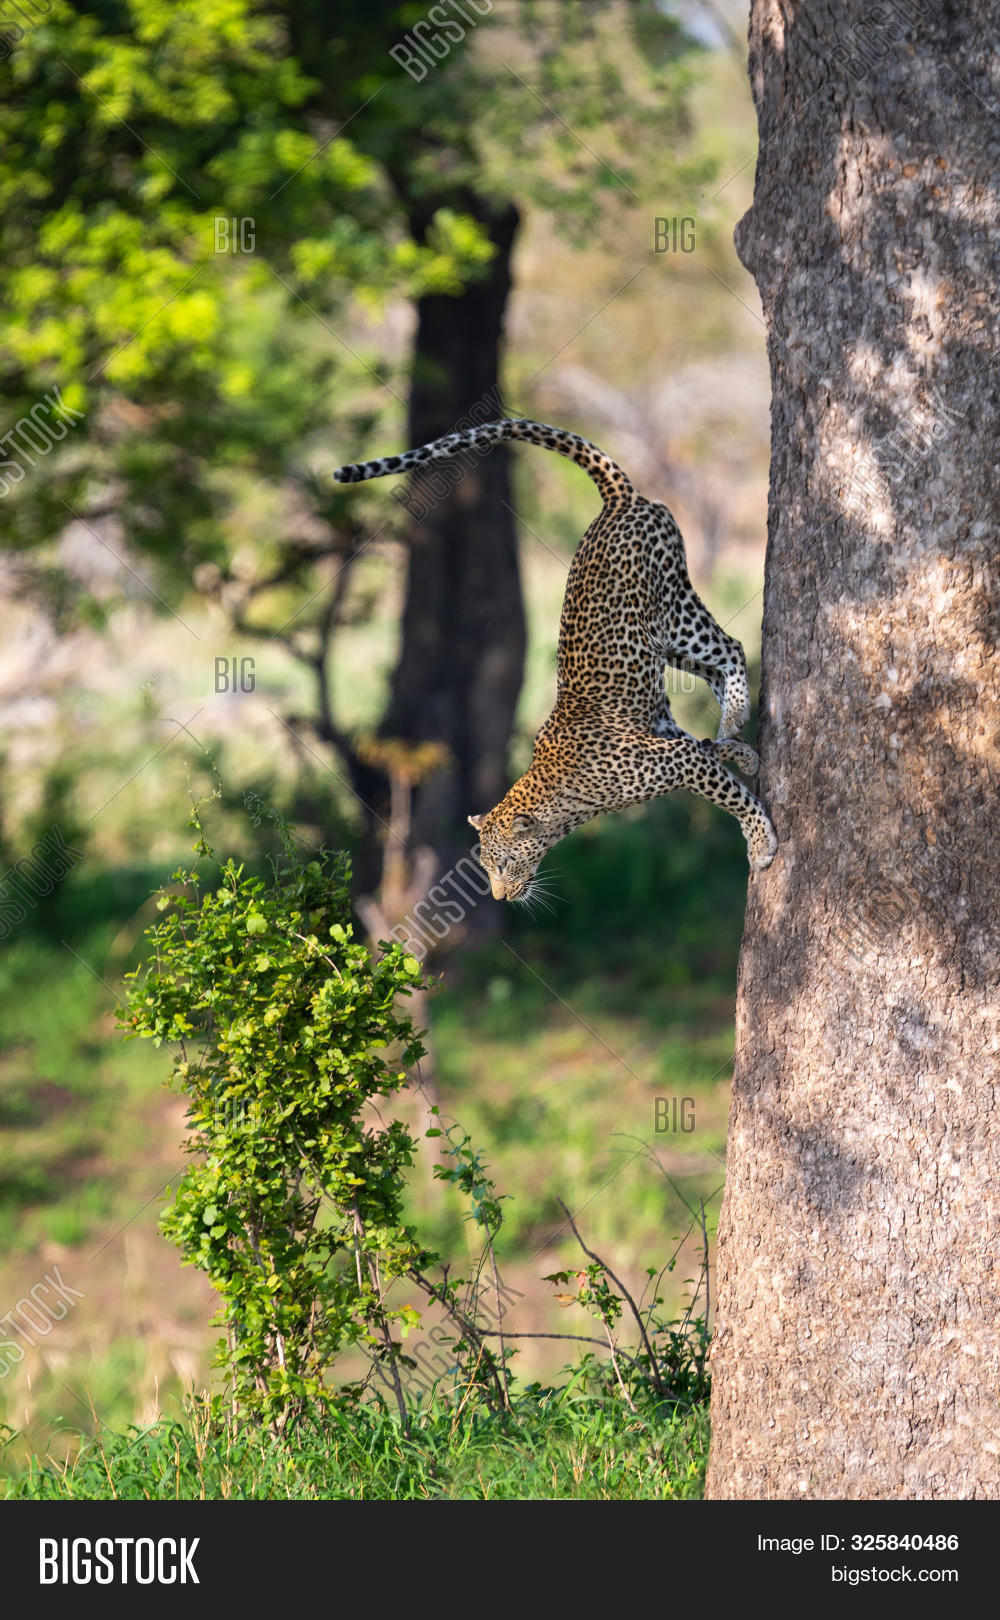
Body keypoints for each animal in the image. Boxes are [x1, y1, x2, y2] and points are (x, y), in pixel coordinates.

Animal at [334, 418, 777, 904]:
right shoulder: (670, 741)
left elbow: (731, 796)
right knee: (717, 667)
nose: (500, 897)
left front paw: (761, 843)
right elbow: (708, 754)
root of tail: (618, 501)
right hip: (667, 645)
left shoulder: (678, 761)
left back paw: (734, 716)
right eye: (487, 867)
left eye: (504, 863)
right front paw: (741, 760)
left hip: (674, 611)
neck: (565, 798)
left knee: (731, 647)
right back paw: (734, 732)